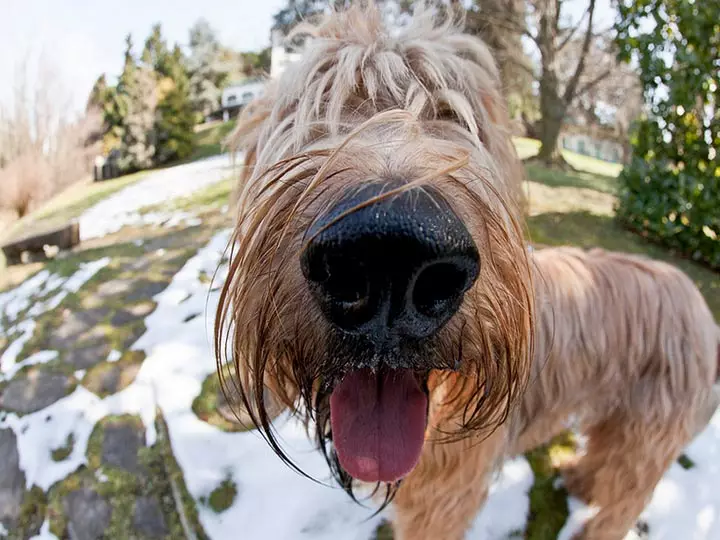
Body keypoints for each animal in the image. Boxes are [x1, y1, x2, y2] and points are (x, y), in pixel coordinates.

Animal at [215, 5, 720, 540]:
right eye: (311, 105)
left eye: (456, 115)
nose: (390, 251)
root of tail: (700, 307)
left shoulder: (444, 495)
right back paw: (580, 478)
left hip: (645, 436)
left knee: (624, 495)